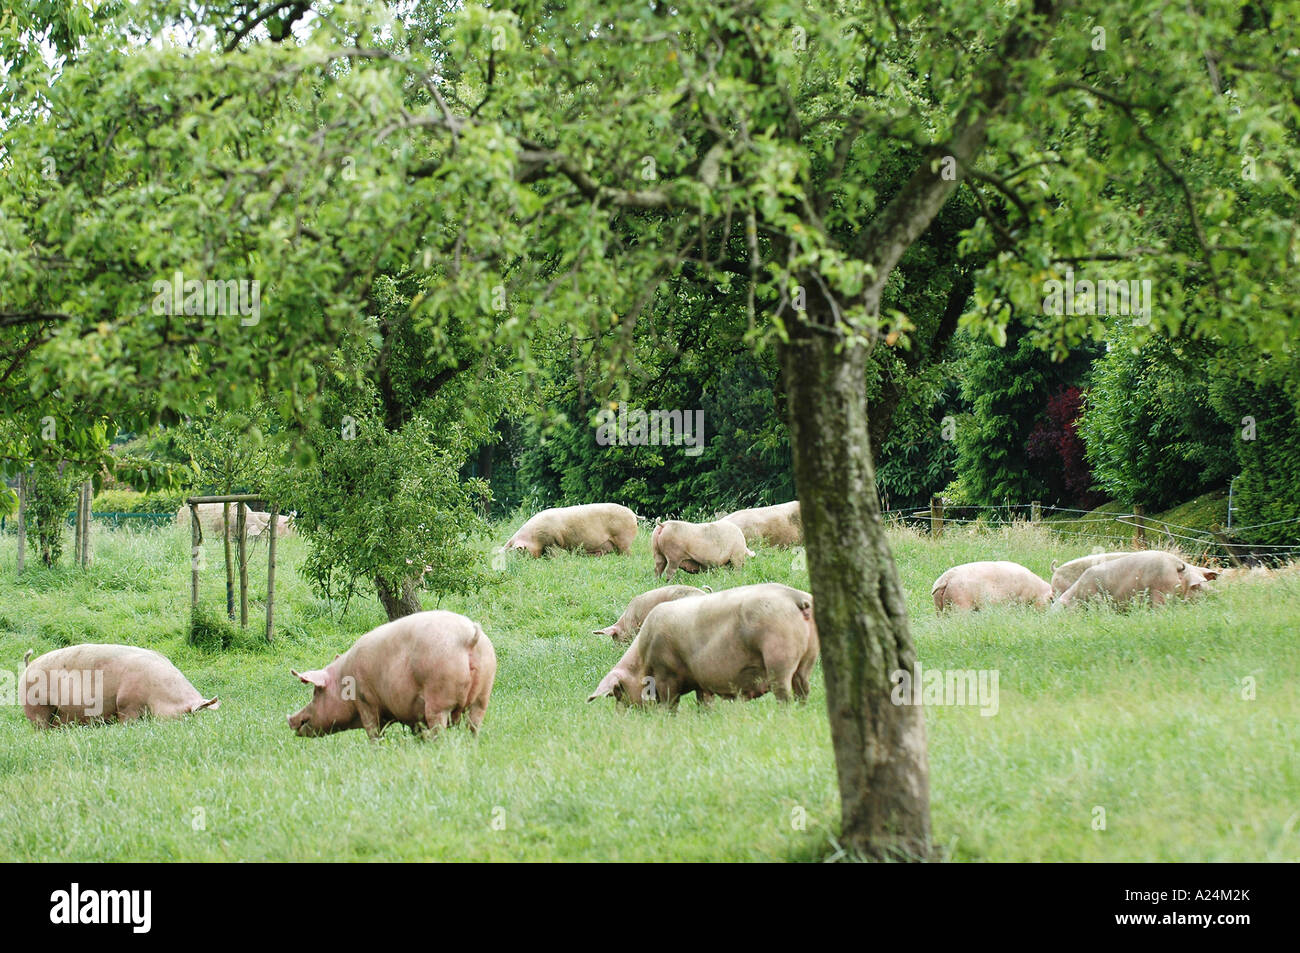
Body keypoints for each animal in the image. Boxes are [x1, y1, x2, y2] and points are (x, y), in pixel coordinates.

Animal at [288, 610, 496, 739]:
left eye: (316, 692)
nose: (290, 720)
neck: (343, 680)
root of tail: (469, 637)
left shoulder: (366, 701)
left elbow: (373, 731)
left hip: (439, 698)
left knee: (440, 729)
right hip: (483, 694)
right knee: (474, 726)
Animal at [505, 503, 638, 557]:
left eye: (521, 551)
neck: (534, 537)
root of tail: (633, 513)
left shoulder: (553, 541)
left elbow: (554, 553)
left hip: (623, 538)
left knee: (626, 552)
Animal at [587, 583, 818, 708]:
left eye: (619, 692)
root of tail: (797, 598)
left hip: (778, 659)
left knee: (785, 695)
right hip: (805, 661)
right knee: (803, 691)